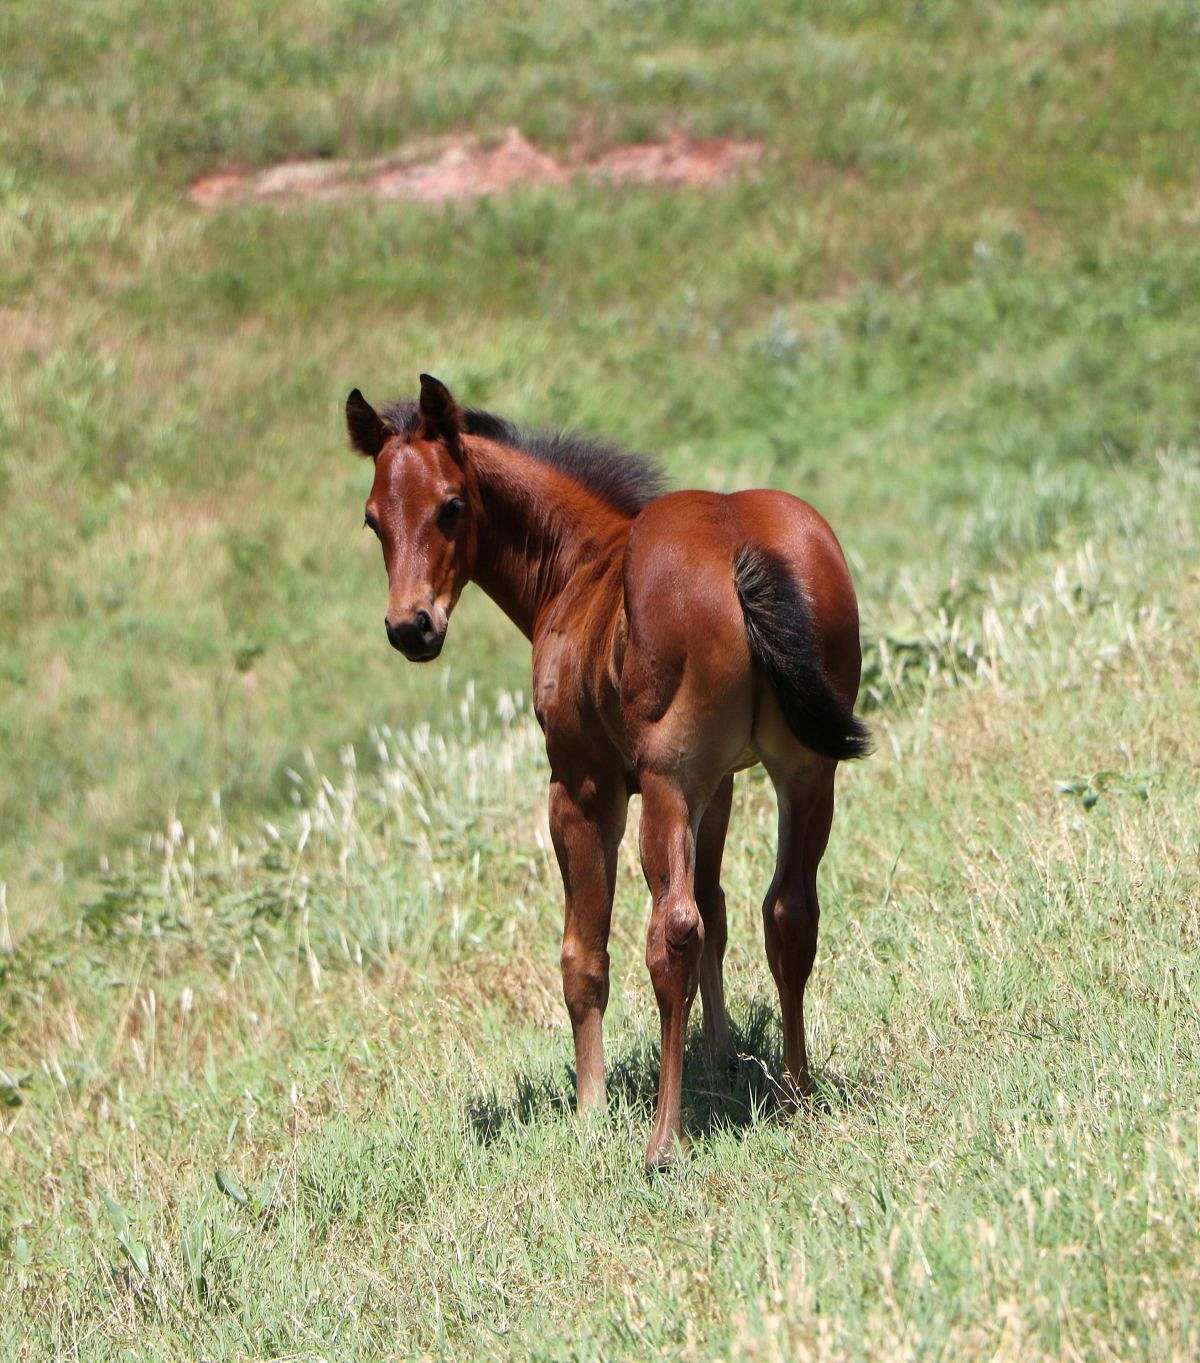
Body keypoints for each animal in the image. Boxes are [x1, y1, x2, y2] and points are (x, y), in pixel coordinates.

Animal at [346, 373, 869, 1169]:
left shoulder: (583, 787)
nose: (411, 628)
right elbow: (719, 907)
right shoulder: (722, 782)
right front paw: (720, 1055)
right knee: (788, 911)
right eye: (374, 520)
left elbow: (585, 952)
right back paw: (796, 1093)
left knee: (671, 930)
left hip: (667, 779)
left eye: (451, 505)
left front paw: (589, 1109)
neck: (579, 565)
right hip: (806, 771)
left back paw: (663, 1139)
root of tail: (743, 546)